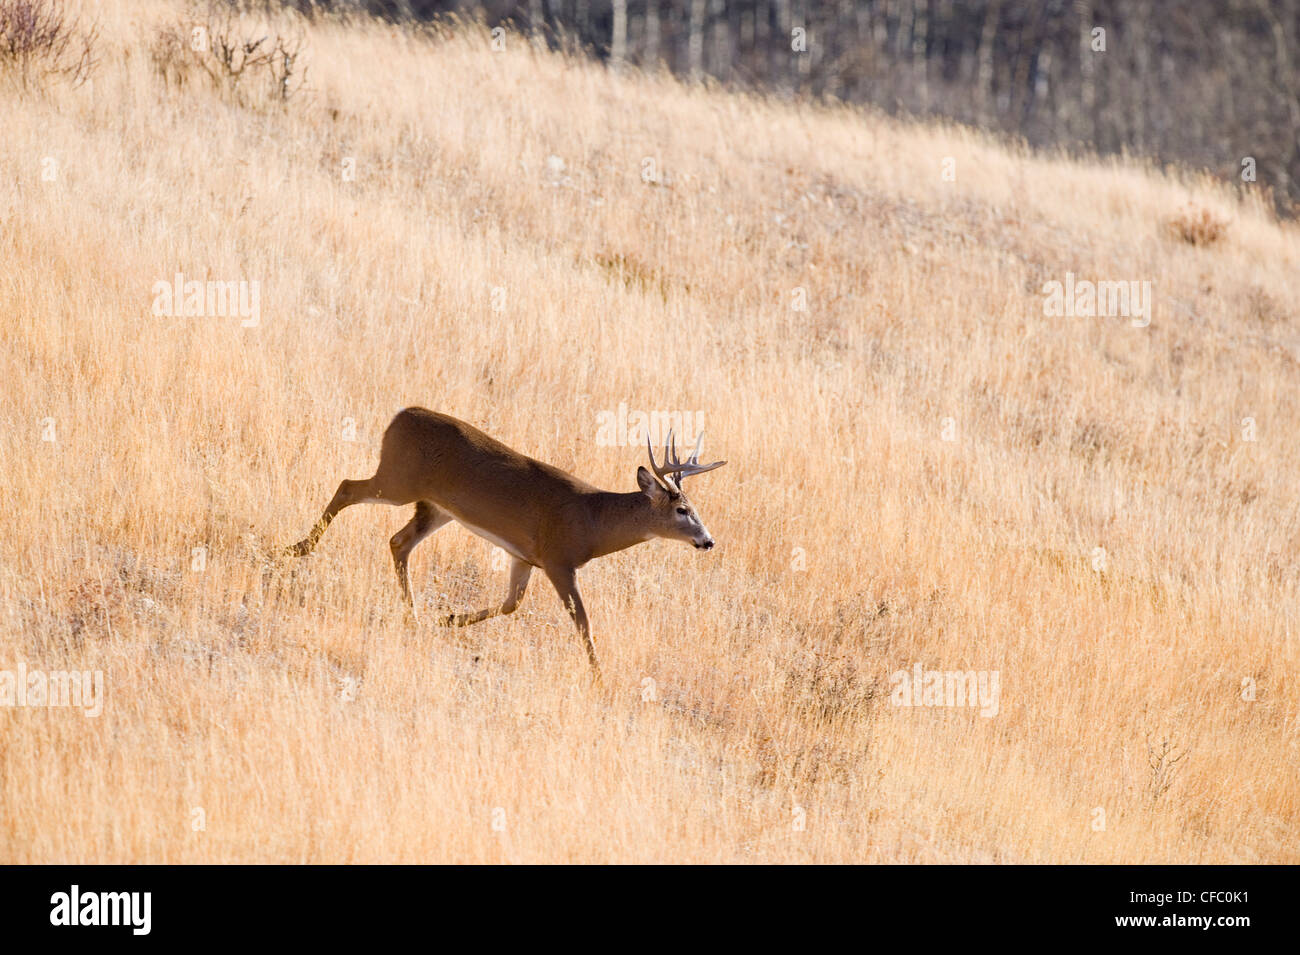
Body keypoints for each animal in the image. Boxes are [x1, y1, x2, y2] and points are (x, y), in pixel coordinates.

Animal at [285, 408, 726, 674]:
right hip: (398, 479)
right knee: (347, 487)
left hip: (436, 507)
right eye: (681, 510)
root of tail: (399, 415)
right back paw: (297, 548)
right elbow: (583, 621)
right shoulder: (558, 559)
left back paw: (414, 615)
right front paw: (599, 677)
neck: (594, 521)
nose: (708, 542)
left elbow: (512, 603)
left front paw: (448, 619)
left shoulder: (524, 557)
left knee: (398, 542)